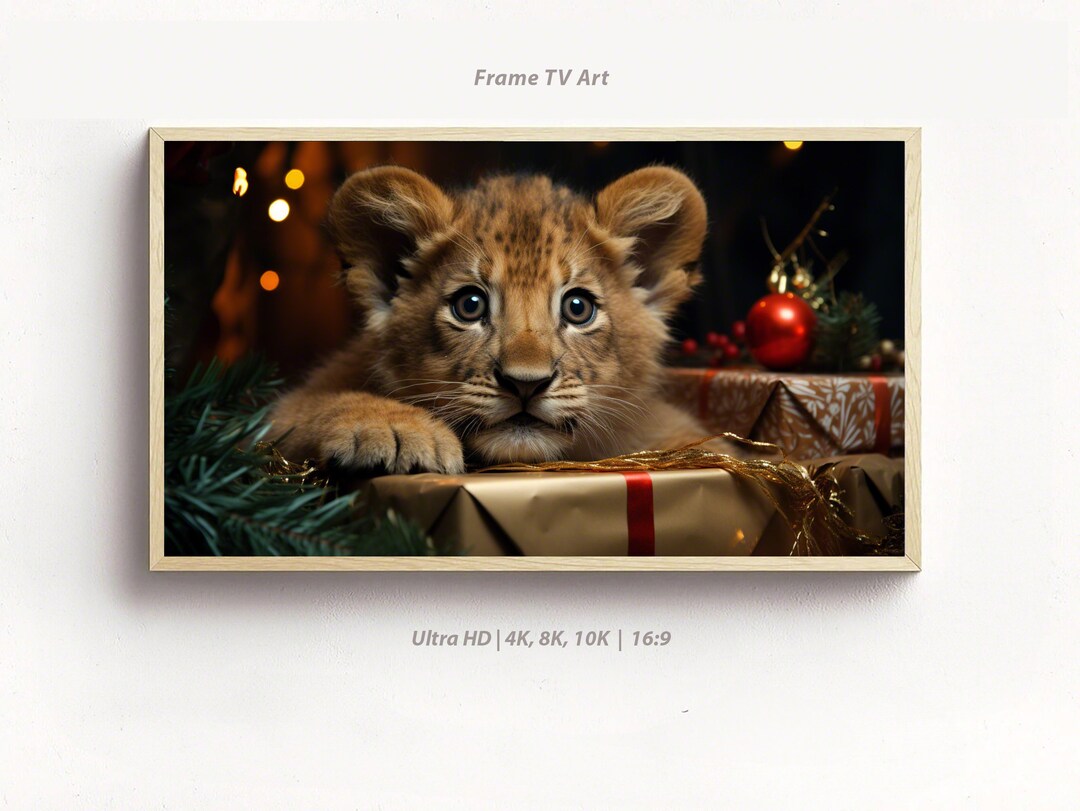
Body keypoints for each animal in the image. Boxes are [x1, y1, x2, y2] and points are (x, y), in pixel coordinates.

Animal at [270, 165, 715, 474]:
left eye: (578, 308)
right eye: (470, 305)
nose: (526, 383)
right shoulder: (288, 407)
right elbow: (313, 405)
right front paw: (397, 430)